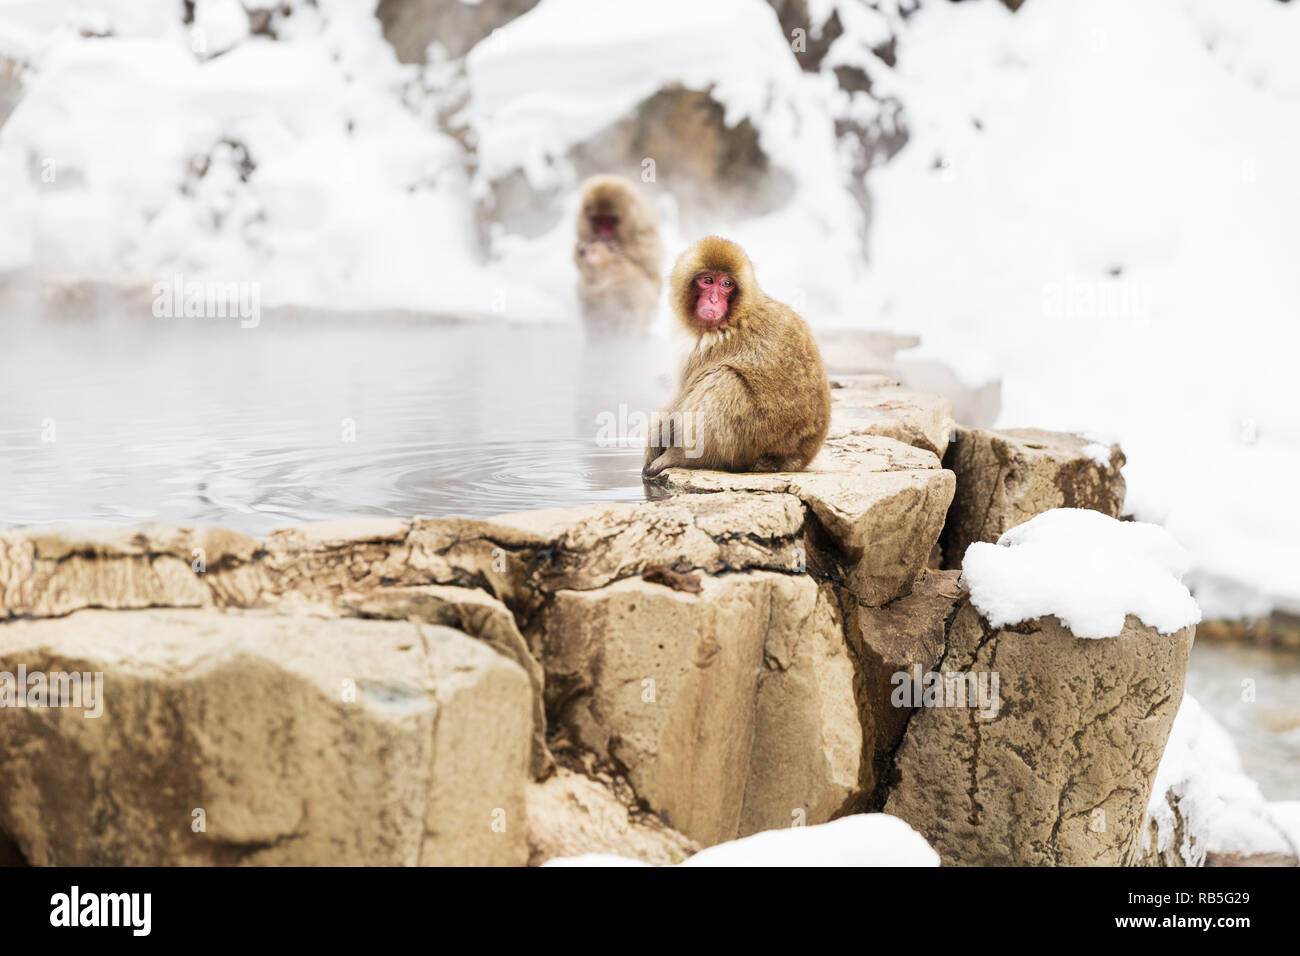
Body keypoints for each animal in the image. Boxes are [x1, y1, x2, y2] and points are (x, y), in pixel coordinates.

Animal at [574, 175, 664, 335]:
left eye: (609, 221)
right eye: (597, 220)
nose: (603, 234)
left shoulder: (645, 228)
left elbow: (645, 266)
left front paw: (599, 255)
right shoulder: (583, 230)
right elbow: (581, 265)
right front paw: (587, 254)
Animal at [642, 236, 831, 478]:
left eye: (726, 284)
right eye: (707, 280)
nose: (714, 300)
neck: (735, 315)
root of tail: (793, 459)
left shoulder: (704, 346)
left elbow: (682, 394)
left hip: (751, 440)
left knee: (724, 378)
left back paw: (684, 457)